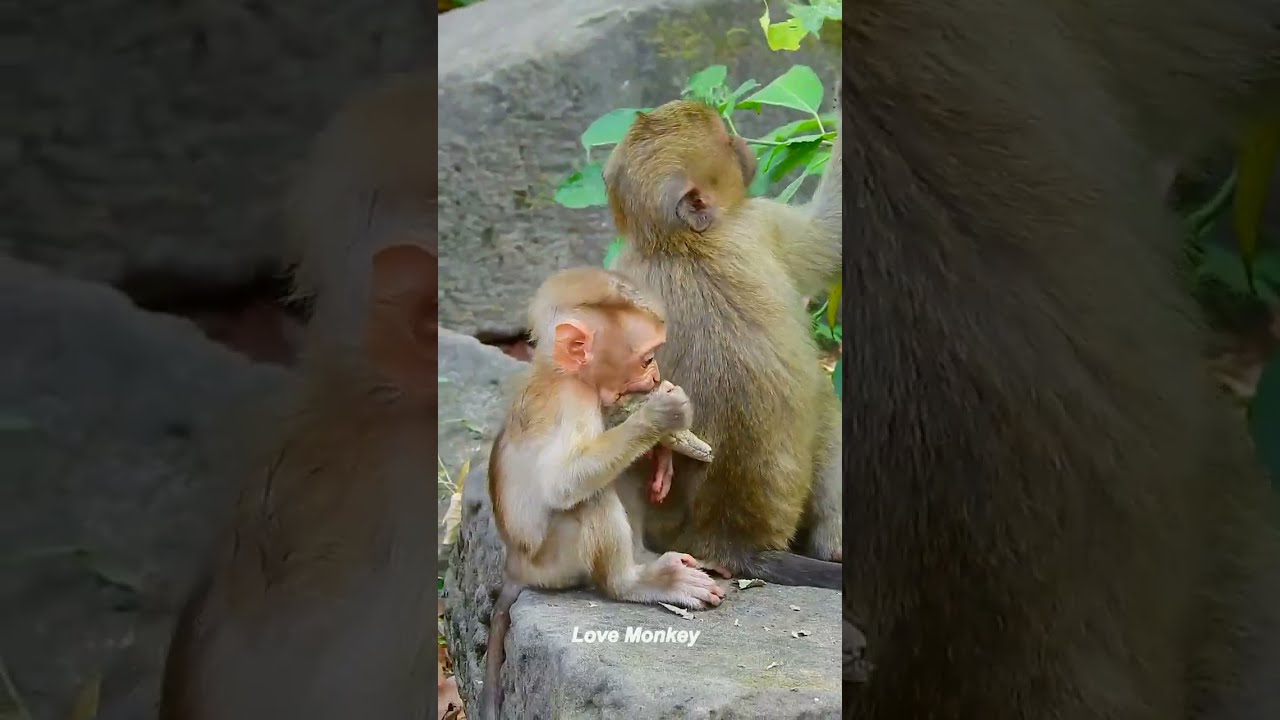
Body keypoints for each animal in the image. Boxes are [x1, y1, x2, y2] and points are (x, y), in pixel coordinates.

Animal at [479, 266, 729, 720]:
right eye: (646, 358)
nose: (655, 378)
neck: (562, 373)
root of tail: (516, 566)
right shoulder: (572, 401)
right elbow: (562, 483)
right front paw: (659, 416)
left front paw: (665, 452)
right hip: (554, 563)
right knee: (588, 499)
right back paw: (635, 581)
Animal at [603, 99, 844, 589]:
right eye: (726, 141)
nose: (744, 144)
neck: (677, 242)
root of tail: (735, 539)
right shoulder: (762, 221)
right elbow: (831, 233)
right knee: (828, 402)